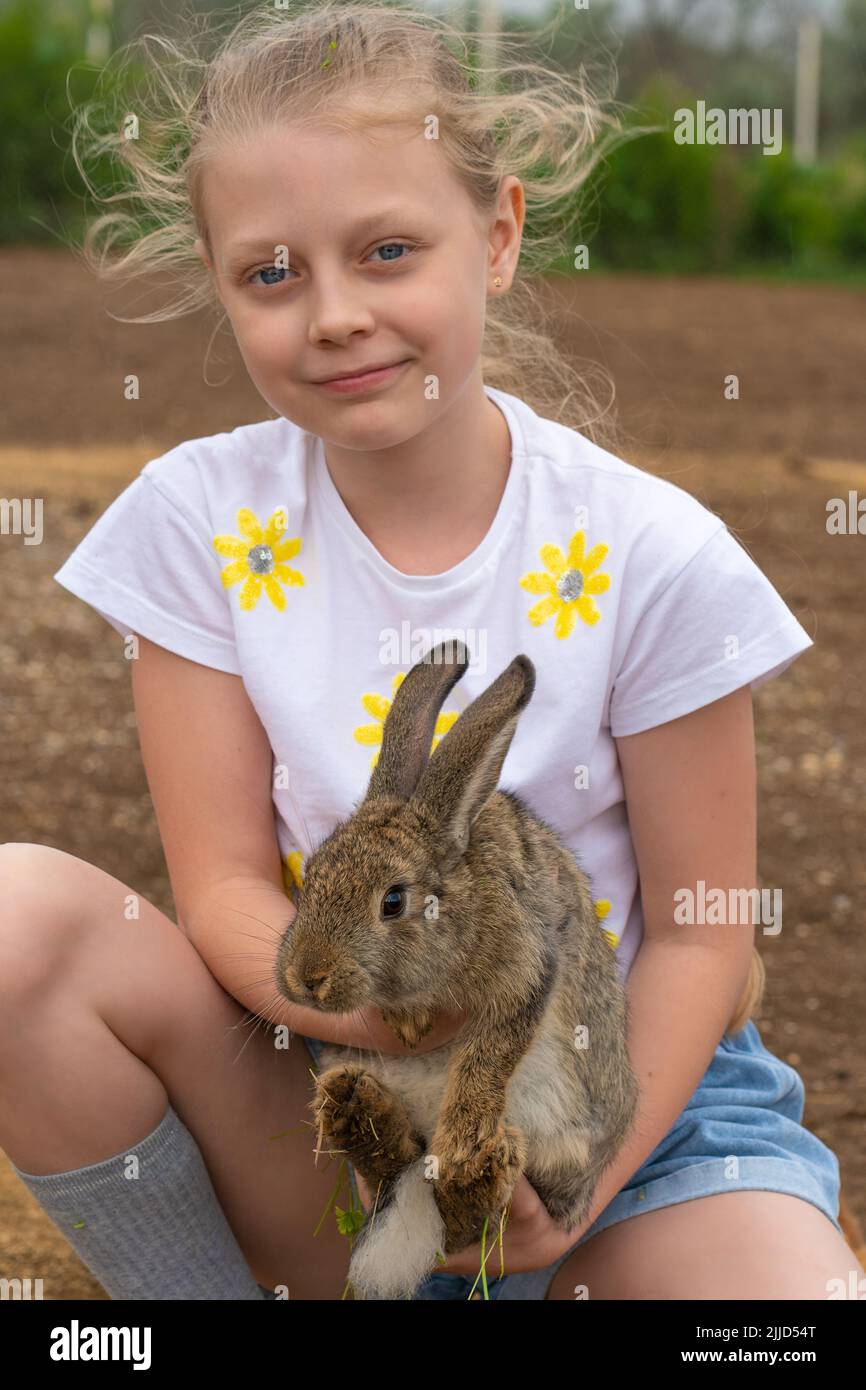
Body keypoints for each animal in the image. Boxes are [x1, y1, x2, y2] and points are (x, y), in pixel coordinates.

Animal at [274, 639, 640, 1300]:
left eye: (393, 901)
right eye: (309, 877)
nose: (306, 978)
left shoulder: (524, 968)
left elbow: (486, 1057)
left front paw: (463, 1142)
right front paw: (411, 1026)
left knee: (463, 1212)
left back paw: (475, 1165)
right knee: (396, 1164)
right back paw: (358, 1112)